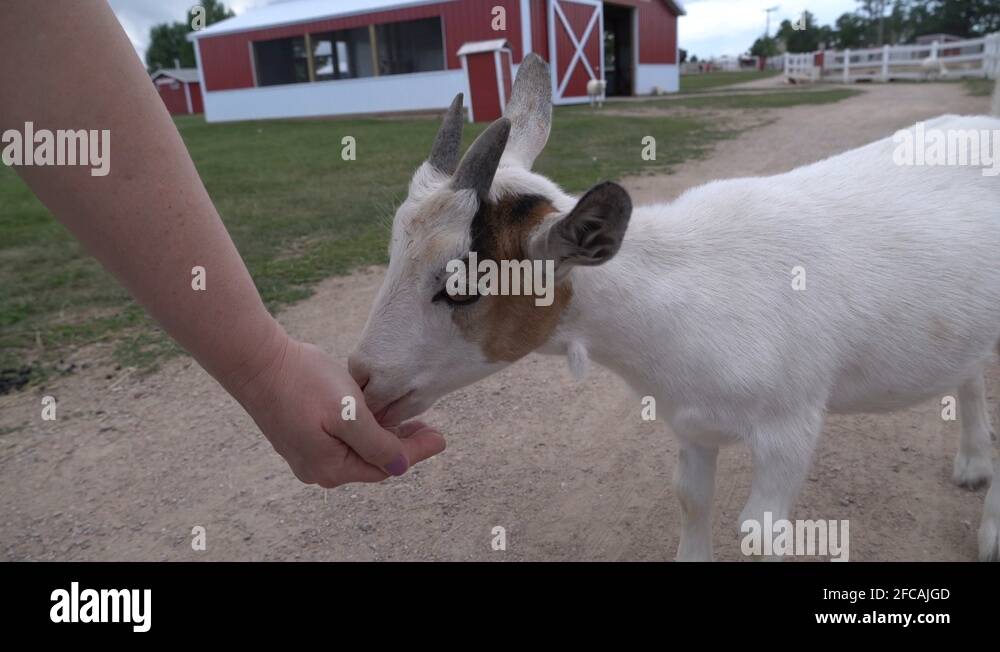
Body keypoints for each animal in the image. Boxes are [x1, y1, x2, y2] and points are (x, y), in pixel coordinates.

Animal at [349, 53, 1000, 561]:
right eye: (394, 251)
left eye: (461, 287)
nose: (361, 378)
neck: (686, 299)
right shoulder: (691, 423)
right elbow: (689, 498)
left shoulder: (790, 428)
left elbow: (760, 533)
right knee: (969, 373)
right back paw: (972, 465)